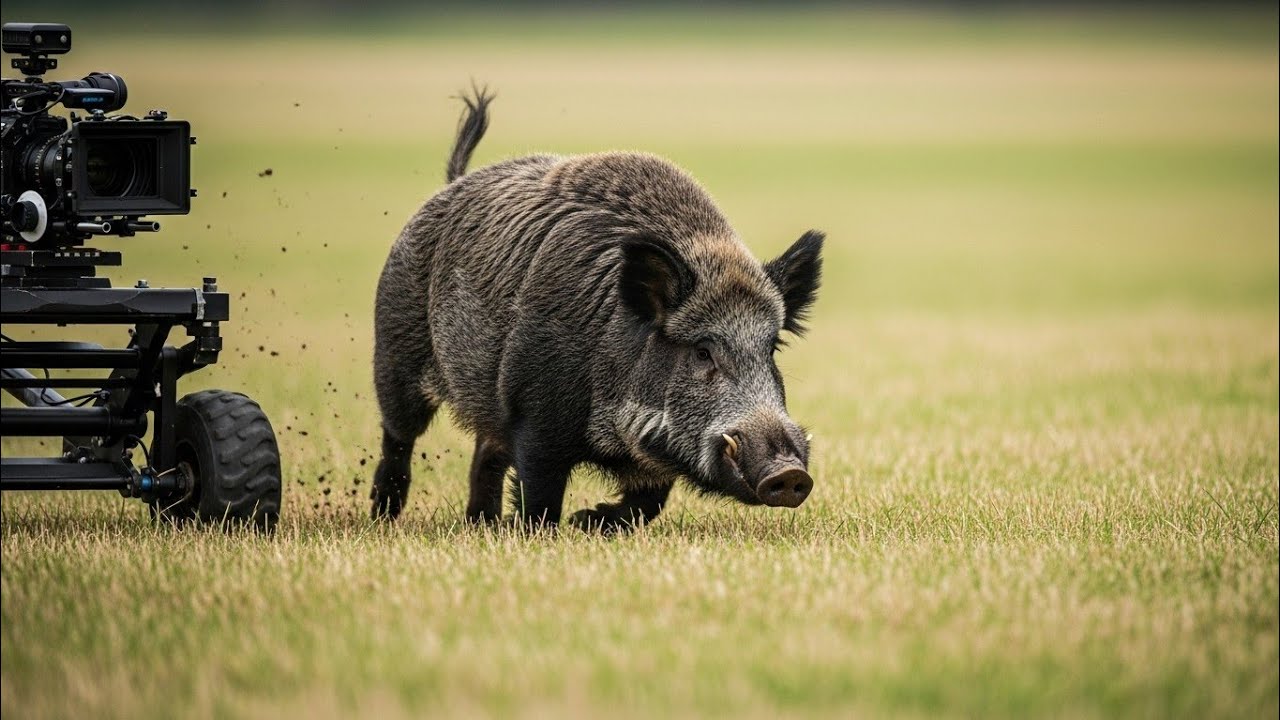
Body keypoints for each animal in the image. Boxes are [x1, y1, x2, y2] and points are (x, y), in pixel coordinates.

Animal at [371, 89, 823, 531]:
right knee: (399, 435)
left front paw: (587, 521)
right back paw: (384, 516)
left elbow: (649, 501)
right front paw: (545, 529)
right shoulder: (536, 417)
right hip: (395, 349)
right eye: (702, 351)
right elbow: (540, 492)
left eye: (771, 349)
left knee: (486, 450)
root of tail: (453, 183)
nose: (789, 474)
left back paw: (481, 523)